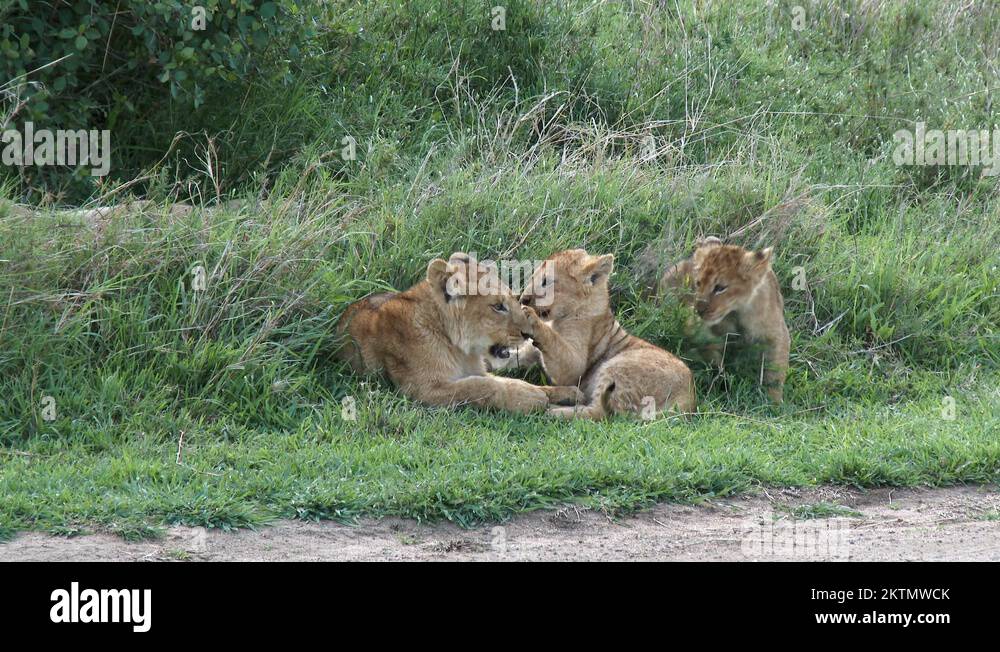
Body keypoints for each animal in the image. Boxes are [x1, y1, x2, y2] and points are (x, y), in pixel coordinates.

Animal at [337, 253, 583, 413]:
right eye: (498, 306)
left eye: (513, 300)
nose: (526, 333)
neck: (461, 350)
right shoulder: (424, 390)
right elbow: (480, 386)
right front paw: (530, 396)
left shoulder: (478, 369)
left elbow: (500, 380)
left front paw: (567, 393)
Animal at [518, 248, 696, 419]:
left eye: (546, 281)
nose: (522, 299)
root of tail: (688, 397)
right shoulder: (530, 351)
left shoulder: (576, 366)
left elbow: (564, 355)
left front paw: (529, 317)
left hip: (618, 368)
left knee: (600, 413)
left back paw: (552, 411)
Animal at [659, 236, 790, 403]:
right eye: (698, 283)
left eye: (720, 287)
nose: (699, 310)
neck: (738, 314)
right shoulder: (696, 329)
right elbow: (712, 355)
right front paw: (722, 382)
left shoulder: (778, 336)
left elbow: (776, 373)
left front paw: (773, 403)